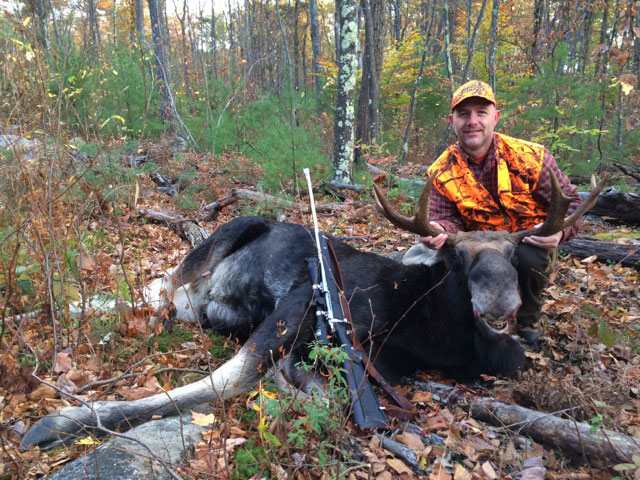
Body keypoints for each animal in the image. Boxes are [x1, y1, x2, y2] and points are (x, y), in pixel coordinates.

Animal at [20, 171, 608, 450]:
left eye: (513, 257)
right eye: (459, 259)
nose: (501, 304)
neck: (431, 326)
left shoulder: (385, 363)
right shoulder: (303, 298)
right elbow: (227, 381)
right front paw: (57, 422)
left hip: (196, 305)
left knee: (159, 300)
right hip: (220, 239)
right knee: (159, 283)